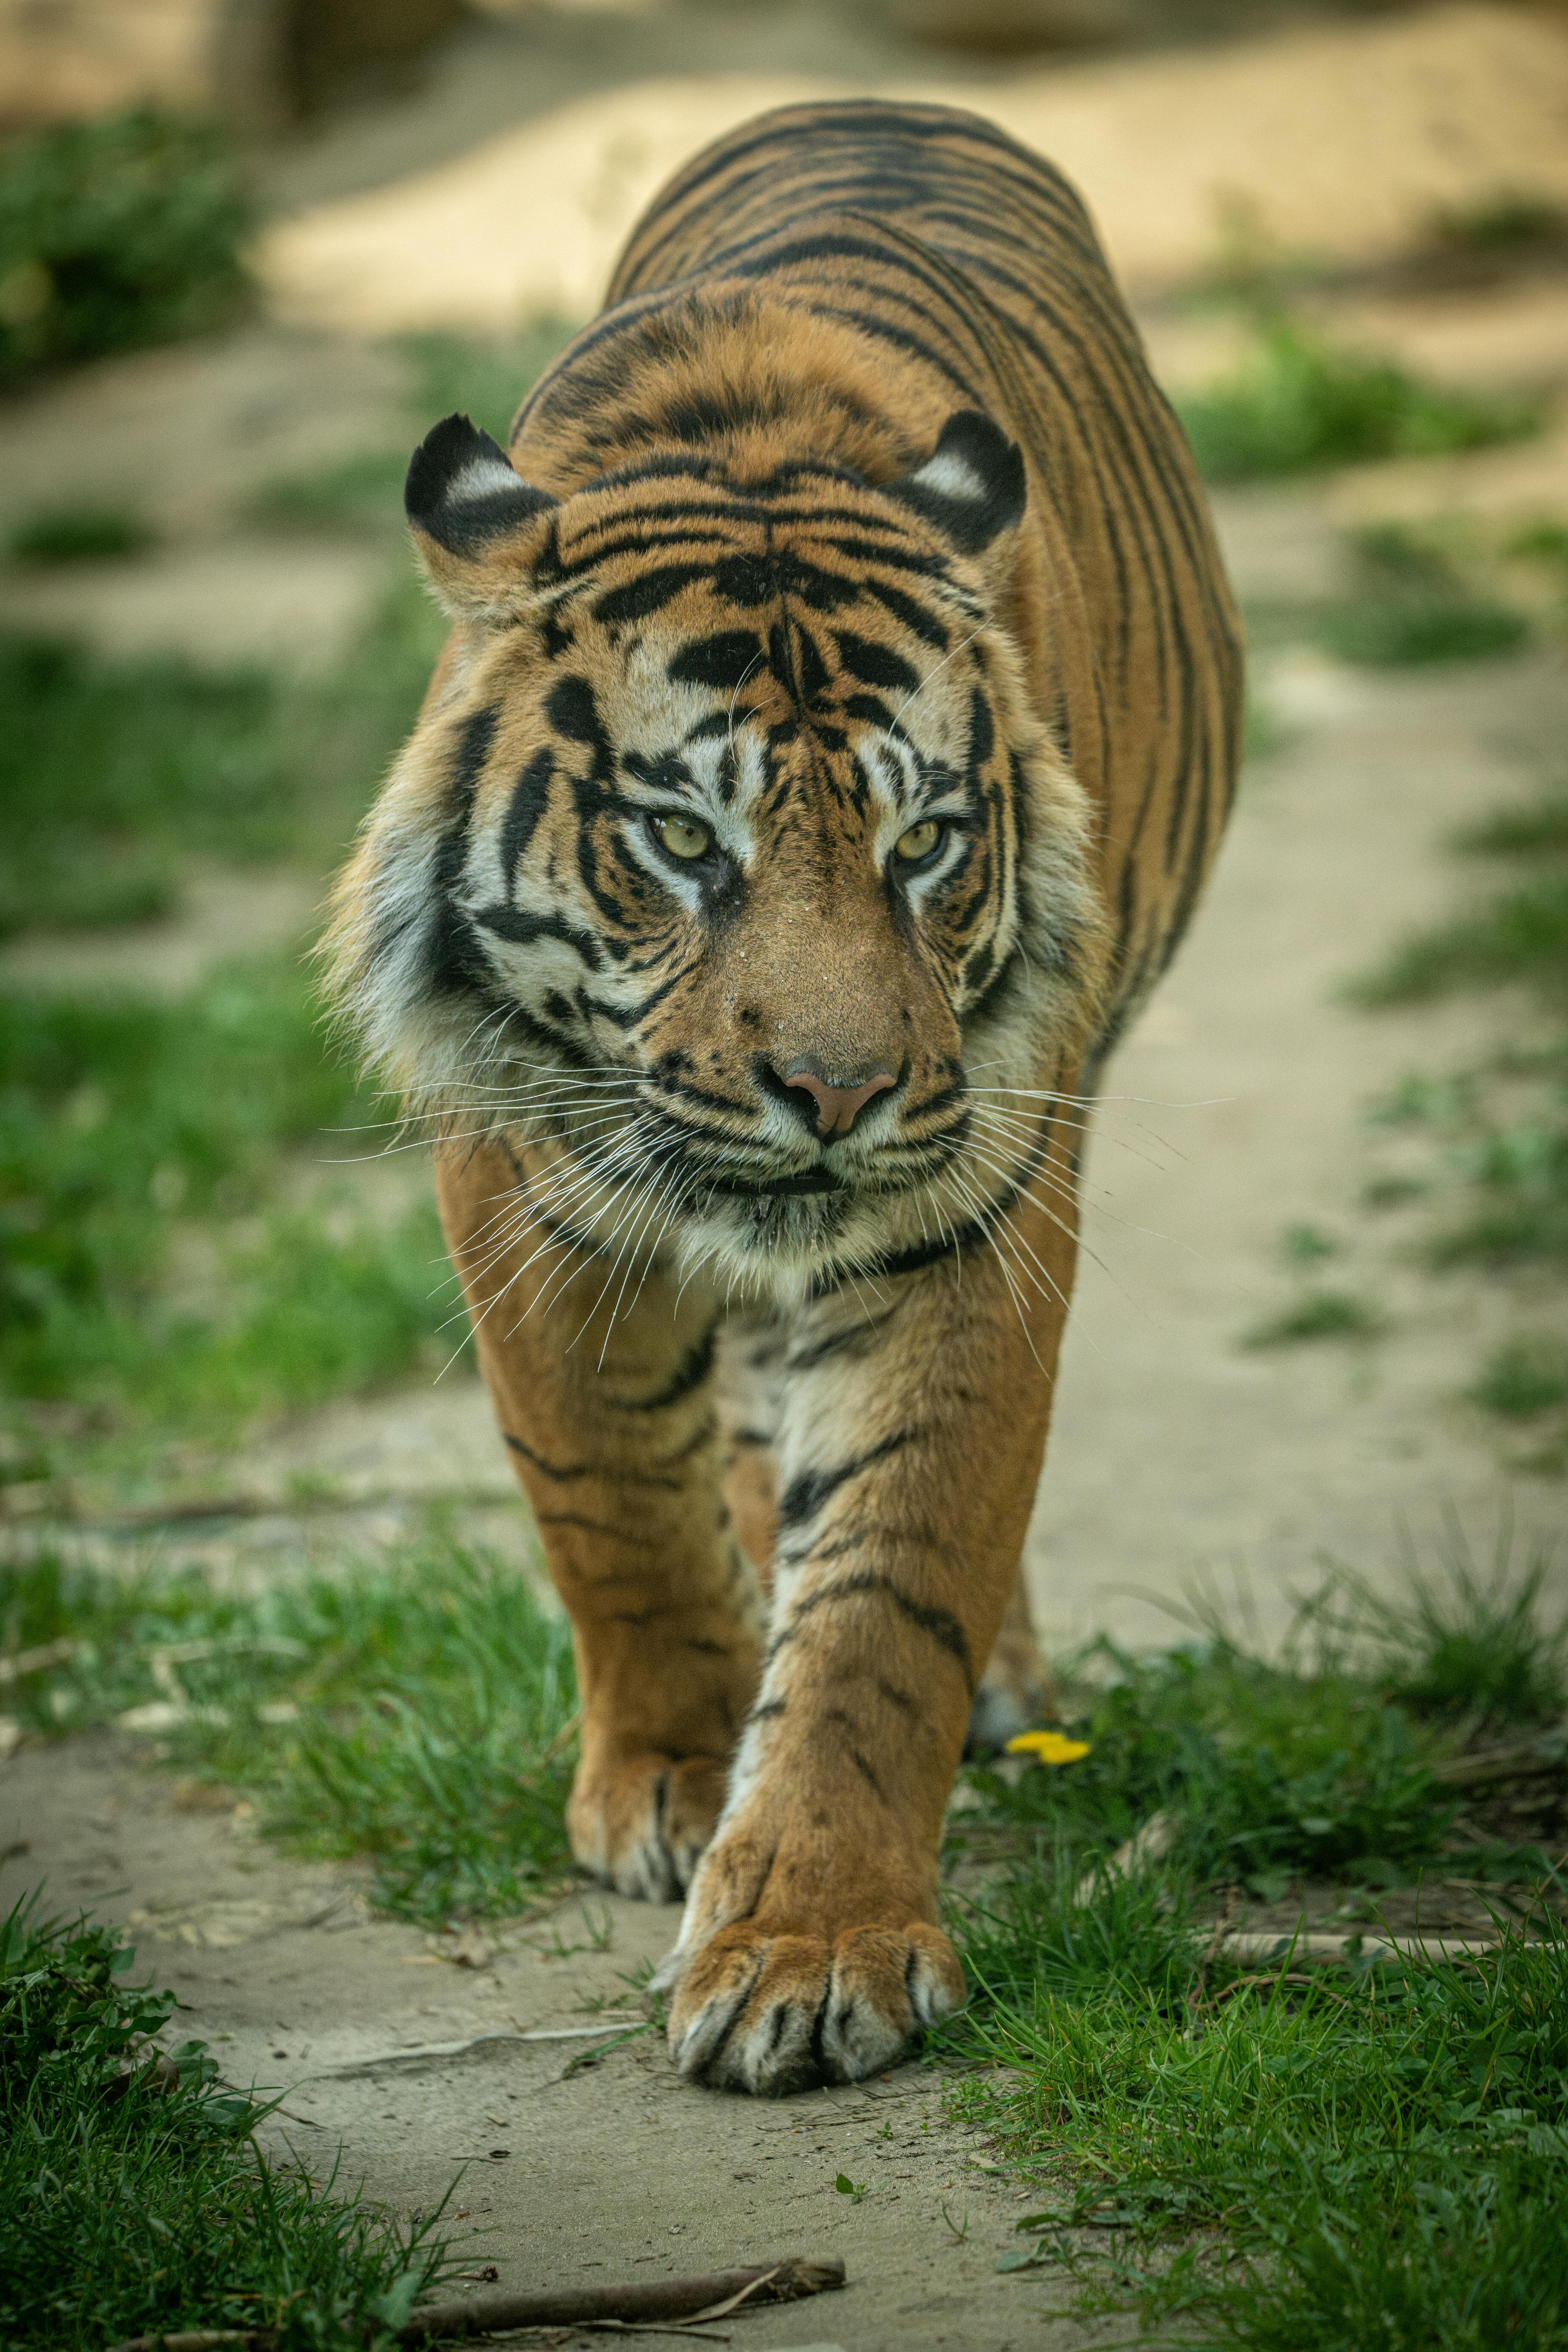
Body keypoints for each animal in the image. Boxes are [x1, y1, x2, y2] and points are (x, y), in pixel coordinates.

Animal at [324, 98, 1242, 2096]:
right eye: (682, 840)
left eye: (925, 844)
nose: (835, 1090)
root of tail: (873, 100)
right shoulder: (517, 1163)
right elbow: (605, 1486)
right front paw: (671, 1774)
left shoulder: (978, 1189)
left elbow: (895, 1572)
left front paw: (809, 1941)